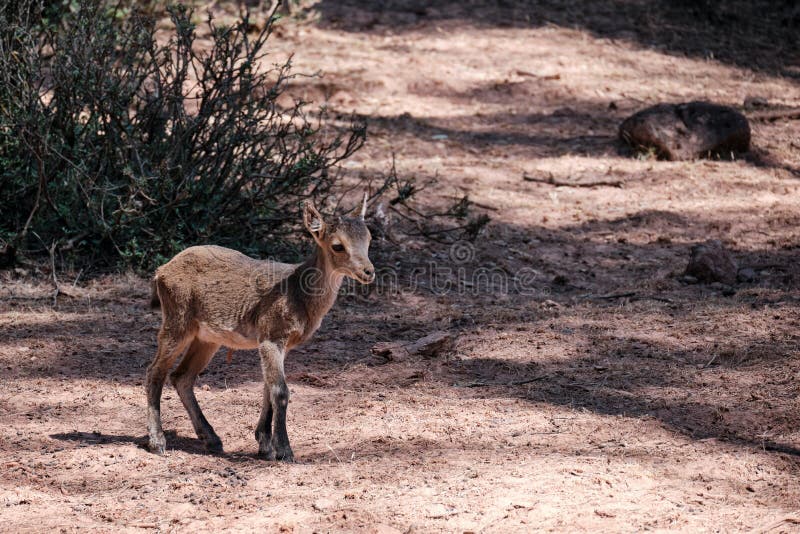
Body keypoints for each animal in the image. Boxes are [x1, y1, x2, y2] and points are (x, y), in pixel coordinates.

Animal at [145, 196, 374, 461]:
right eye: (337, 245)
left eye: (368, 238)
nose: (368, 271)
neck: (297, 293)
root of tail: (160, 273)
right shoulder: (271, 334)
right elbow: (280, 391)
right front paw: (284, 450)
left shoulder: (283, 343)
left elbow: (267, 389)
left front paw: (264, 444)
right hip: (177, 320)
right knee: (155, 371)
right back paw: (158, 442)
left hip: (206, 337)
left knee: (181, 376)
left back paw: (212, 439)